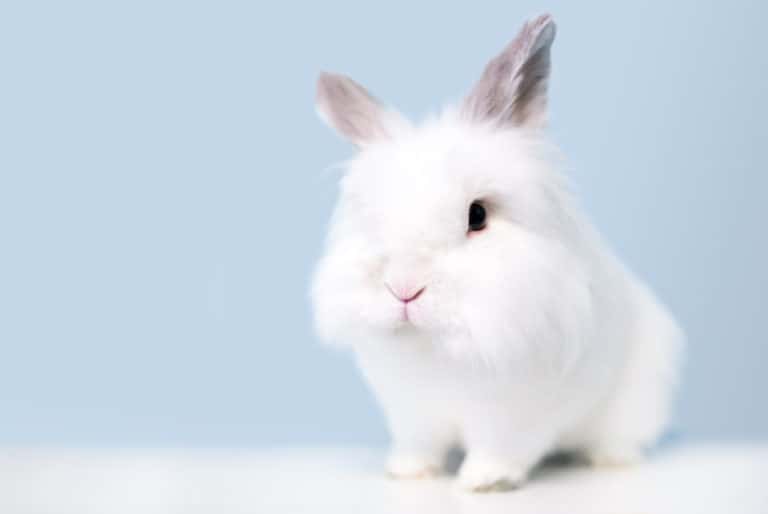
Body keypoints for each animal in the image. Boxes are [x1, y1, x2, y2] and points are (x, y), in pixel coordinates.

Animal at [311, 13, 683, 493]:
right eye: (373, 218)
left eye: (477, 215)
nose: (404, 289)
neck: (440, 348)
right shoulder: (413, 415)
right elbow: (419, 444)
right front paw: (408, 471)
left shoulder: (513, 416)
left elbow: (500, 449)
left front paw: (484, 481)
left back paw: (609, 461)